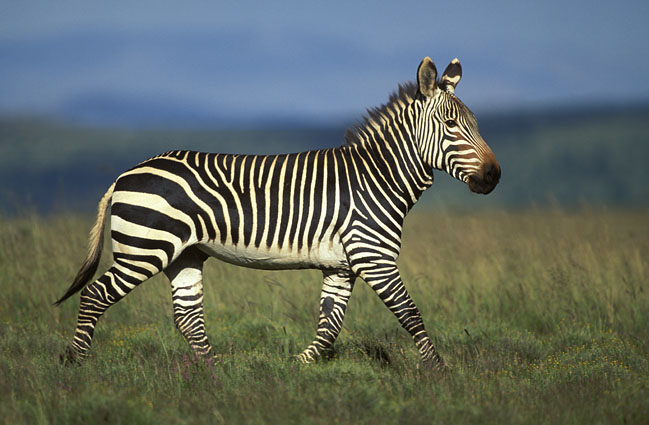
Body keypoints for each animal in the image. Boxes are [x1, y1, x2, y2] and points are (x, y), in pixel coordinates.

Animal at [56, 57, 500, 369]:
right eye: (450, 125)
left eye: (475, 123)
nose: (493, 176)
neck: (377, 177)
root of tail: (125, 174)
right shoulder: (373, 257)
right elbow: (409, 313)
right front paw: (440, 372)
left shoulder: (341, 266)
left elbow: (329, 326)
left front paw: (296, 368)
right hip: (144, 249)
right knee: (96, 294)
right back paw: (75, 364)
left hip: (184, 253)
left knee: (188, 314)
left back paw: (217, 372)